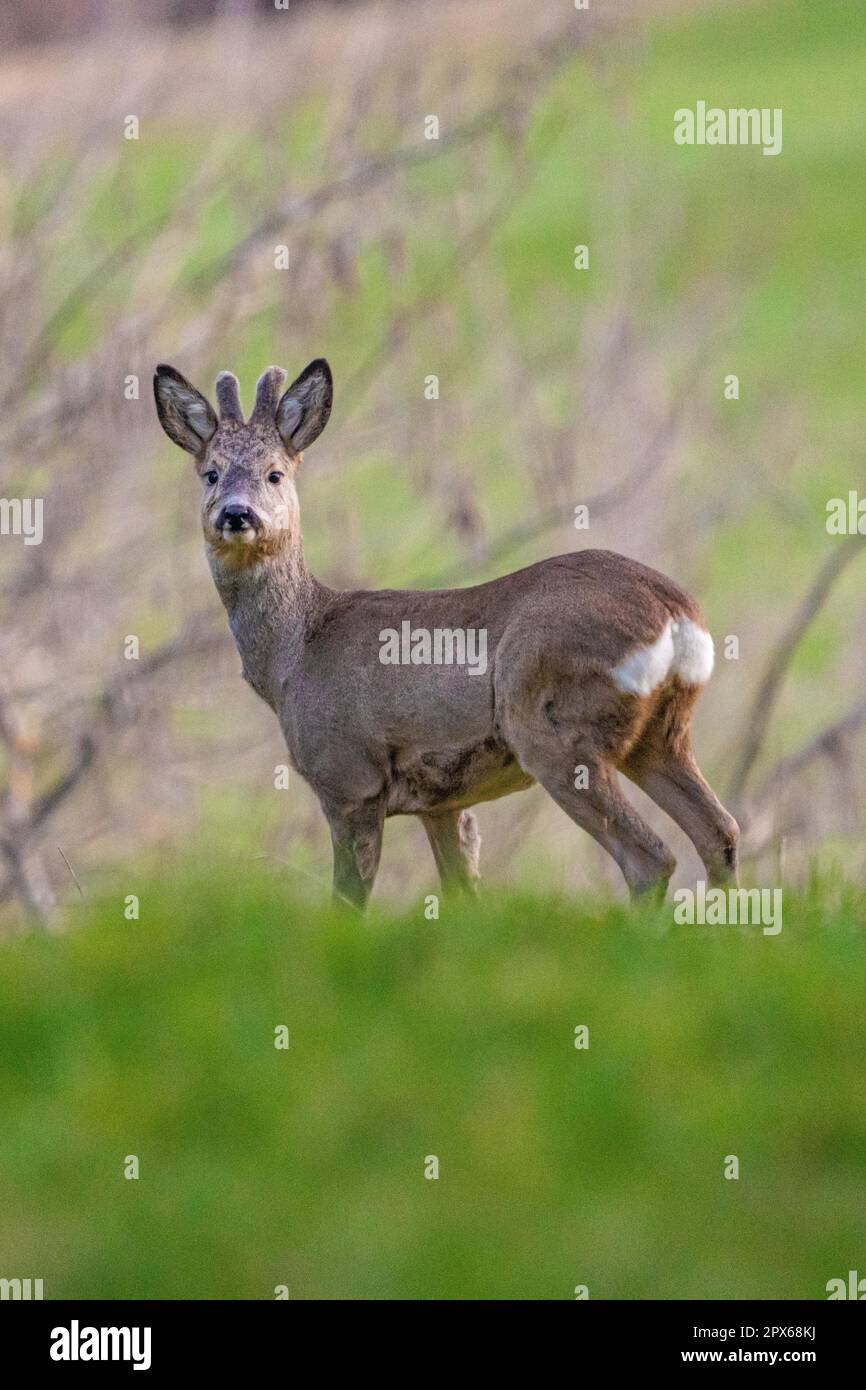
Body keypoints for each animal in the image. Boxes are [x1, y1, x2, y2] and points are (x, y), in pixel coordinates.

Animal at [154, 359, 739, 910]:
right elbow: (463, 892)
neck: (293, 655)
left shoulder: (349, 776)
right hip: (661, 735)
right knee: (720, 832)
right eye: (210, 473)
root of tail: (678, 614)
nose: (237, 514)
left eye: (275, 474)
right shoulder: (442, 802)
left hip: (555, 727)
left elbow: (348, 903)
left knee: (651, 857)